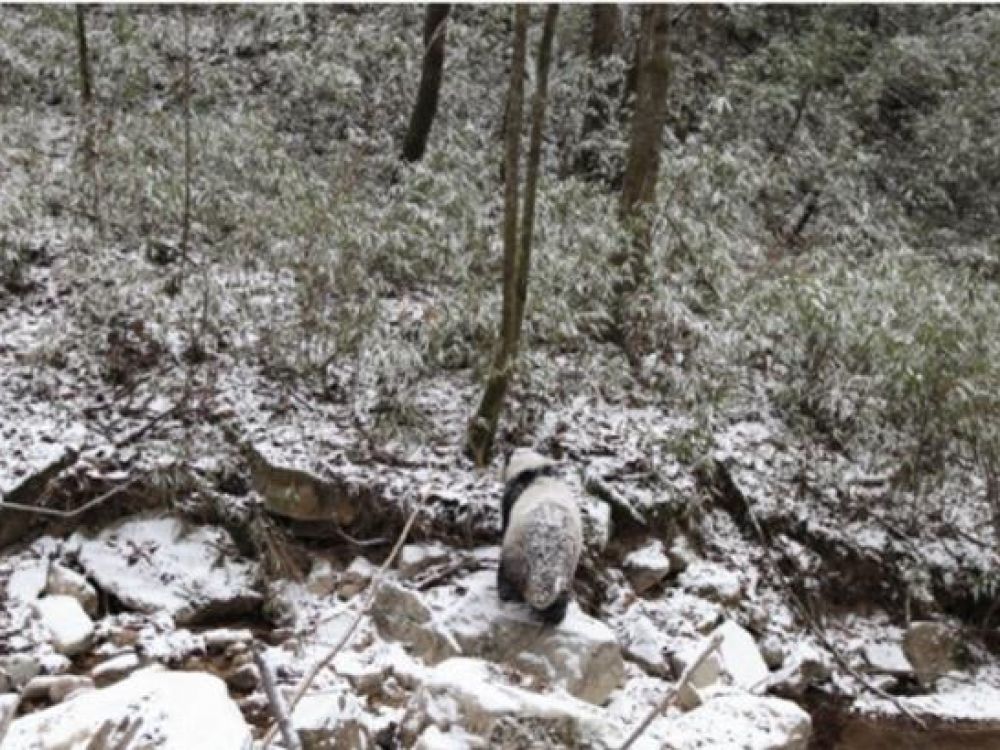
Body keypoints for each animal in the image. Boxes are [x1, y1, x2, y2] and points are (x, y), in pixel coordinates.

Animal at [497, 448, 583, 625]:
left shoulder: (513, 493)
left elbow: (506, 516)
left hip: (518, 547)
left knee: (508, 568)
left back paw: (507, 592)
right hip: (568, 564)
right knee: (562, 590)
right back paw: (555, 614)